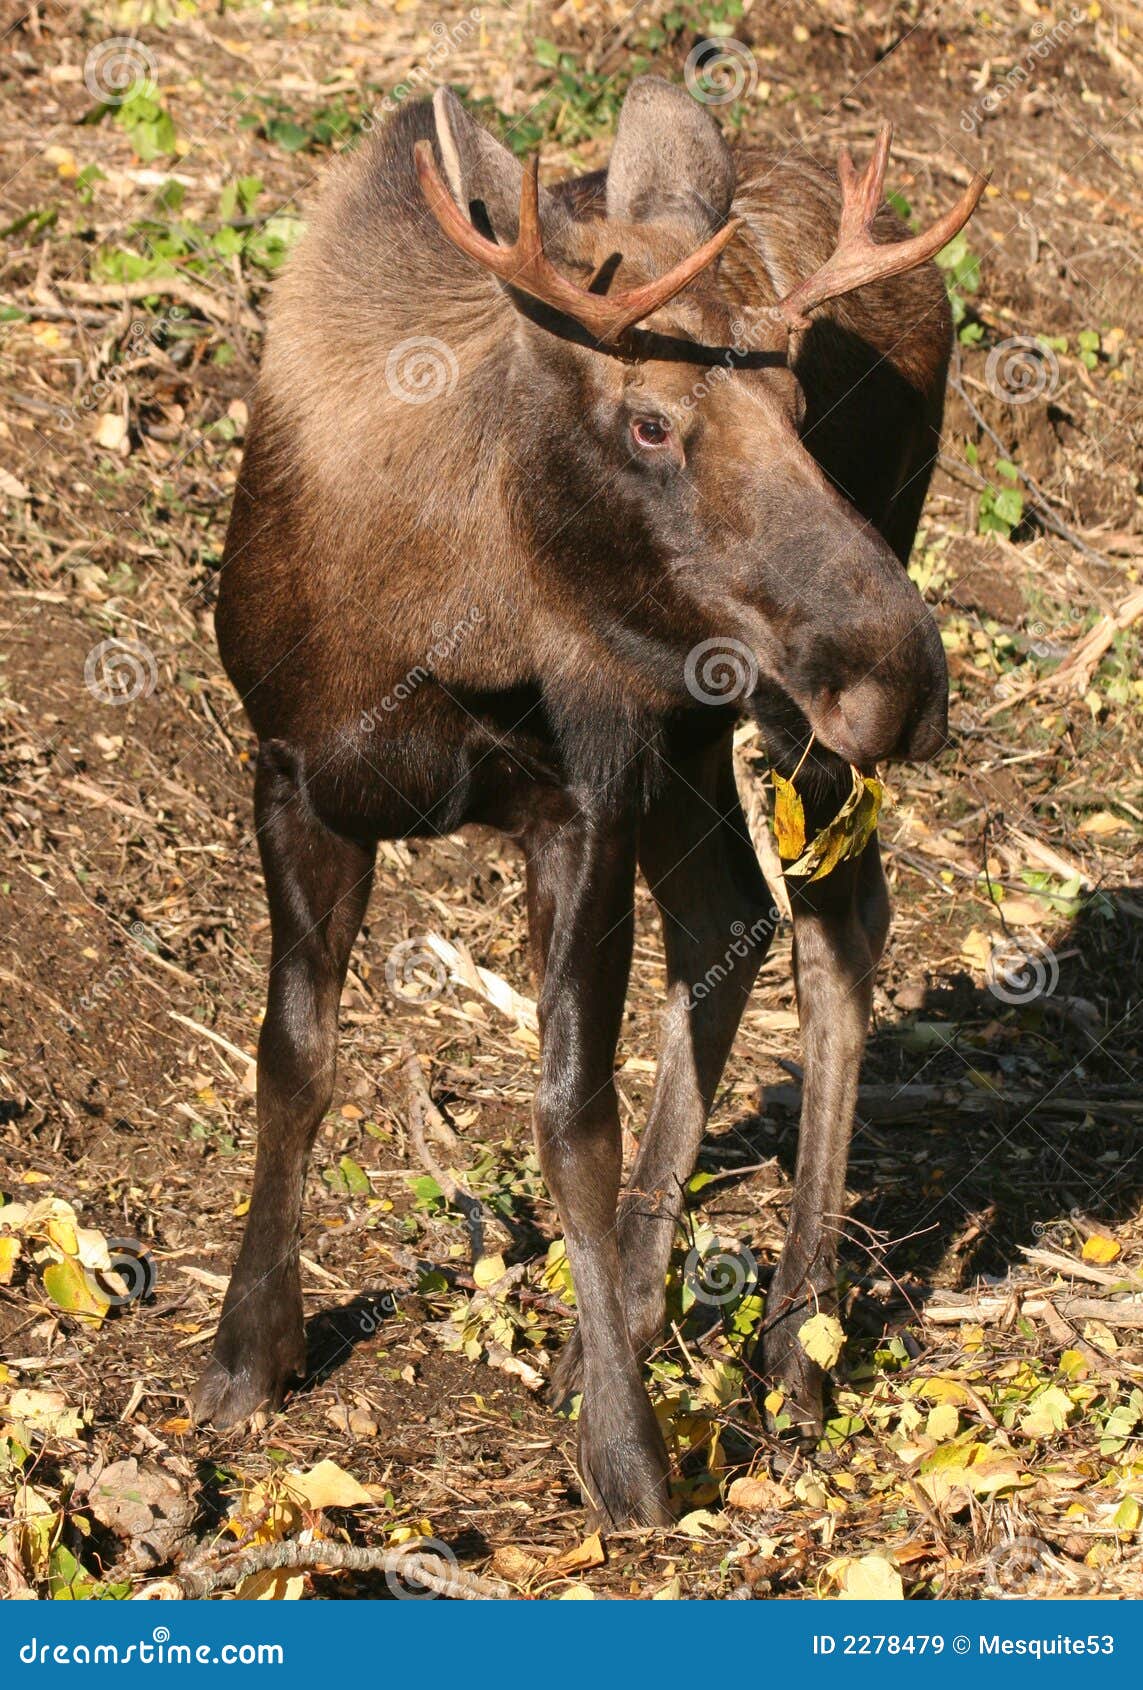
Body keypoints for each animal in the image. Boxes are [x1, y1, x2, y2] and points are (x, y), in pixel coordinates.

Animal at [193, 76, 985, 1528]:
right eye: (650, 419)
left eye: (801, 400)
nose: (906, 675)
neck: (432, 626)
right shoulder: (289, 775)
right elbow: (292, 1057)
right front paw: (244, 1354)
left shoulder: (583, 793)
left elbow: (571, 1112)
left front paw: (626, 1456)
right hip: (701, 728)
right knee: (730, 915)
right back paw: (631, 1309)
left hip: (775, 709)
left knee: (838, 918)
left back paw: (789, 1357)